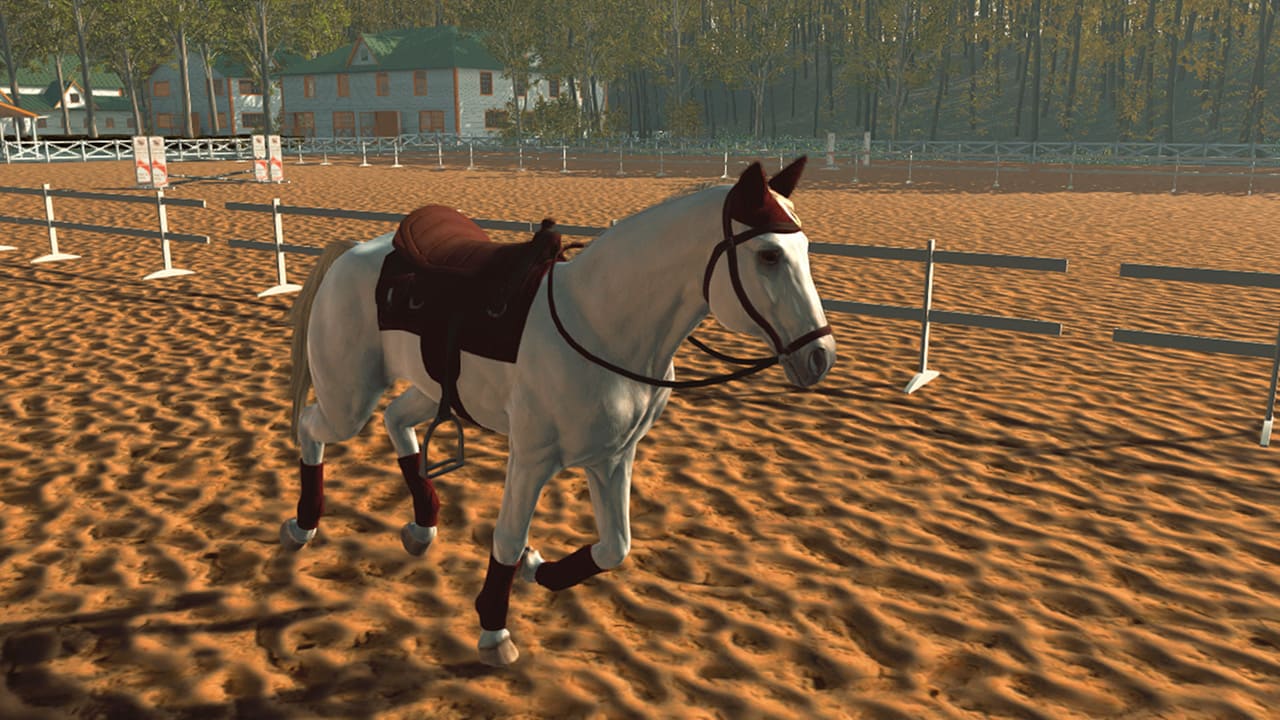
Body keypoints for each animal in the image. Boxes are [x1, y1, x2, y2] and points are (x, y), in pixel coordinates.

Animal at [281, 156, 837, 666]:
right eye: (768, 255)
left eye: (807, 250)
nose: (819, 357)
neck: (598, 324)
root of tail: (353, 251)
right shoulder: (531, 459)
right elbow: (507, 537)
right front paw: (494, 631)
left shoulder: (612, 457)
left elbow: (615, 546)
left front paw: (536, 568)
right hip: (349, 397)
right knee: (313, 427)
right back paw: (302, 526)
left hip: (430, 388)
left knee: (396, 419)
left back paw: (421, 527)